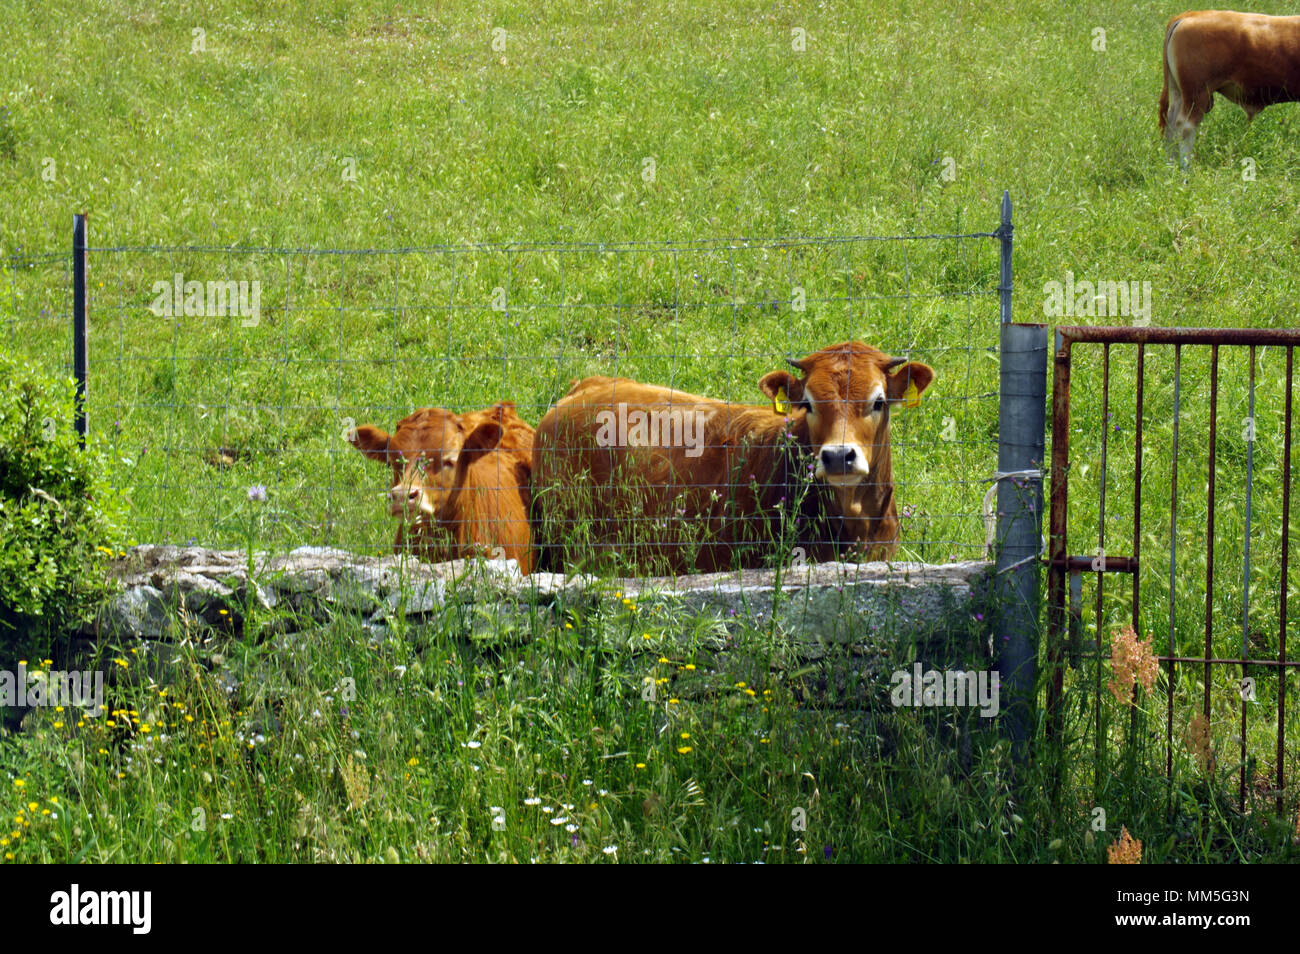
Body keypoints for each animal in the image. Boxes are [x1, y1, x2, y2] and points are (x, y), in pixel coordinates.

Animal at [1160, 10, 1300, 164]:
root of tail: (1190, 15)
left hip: (1179, 93)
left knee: (1171, 124)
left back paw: (1170, 164)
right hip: (1197, 93)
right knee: (1185, 127)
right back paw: (1186, 167)